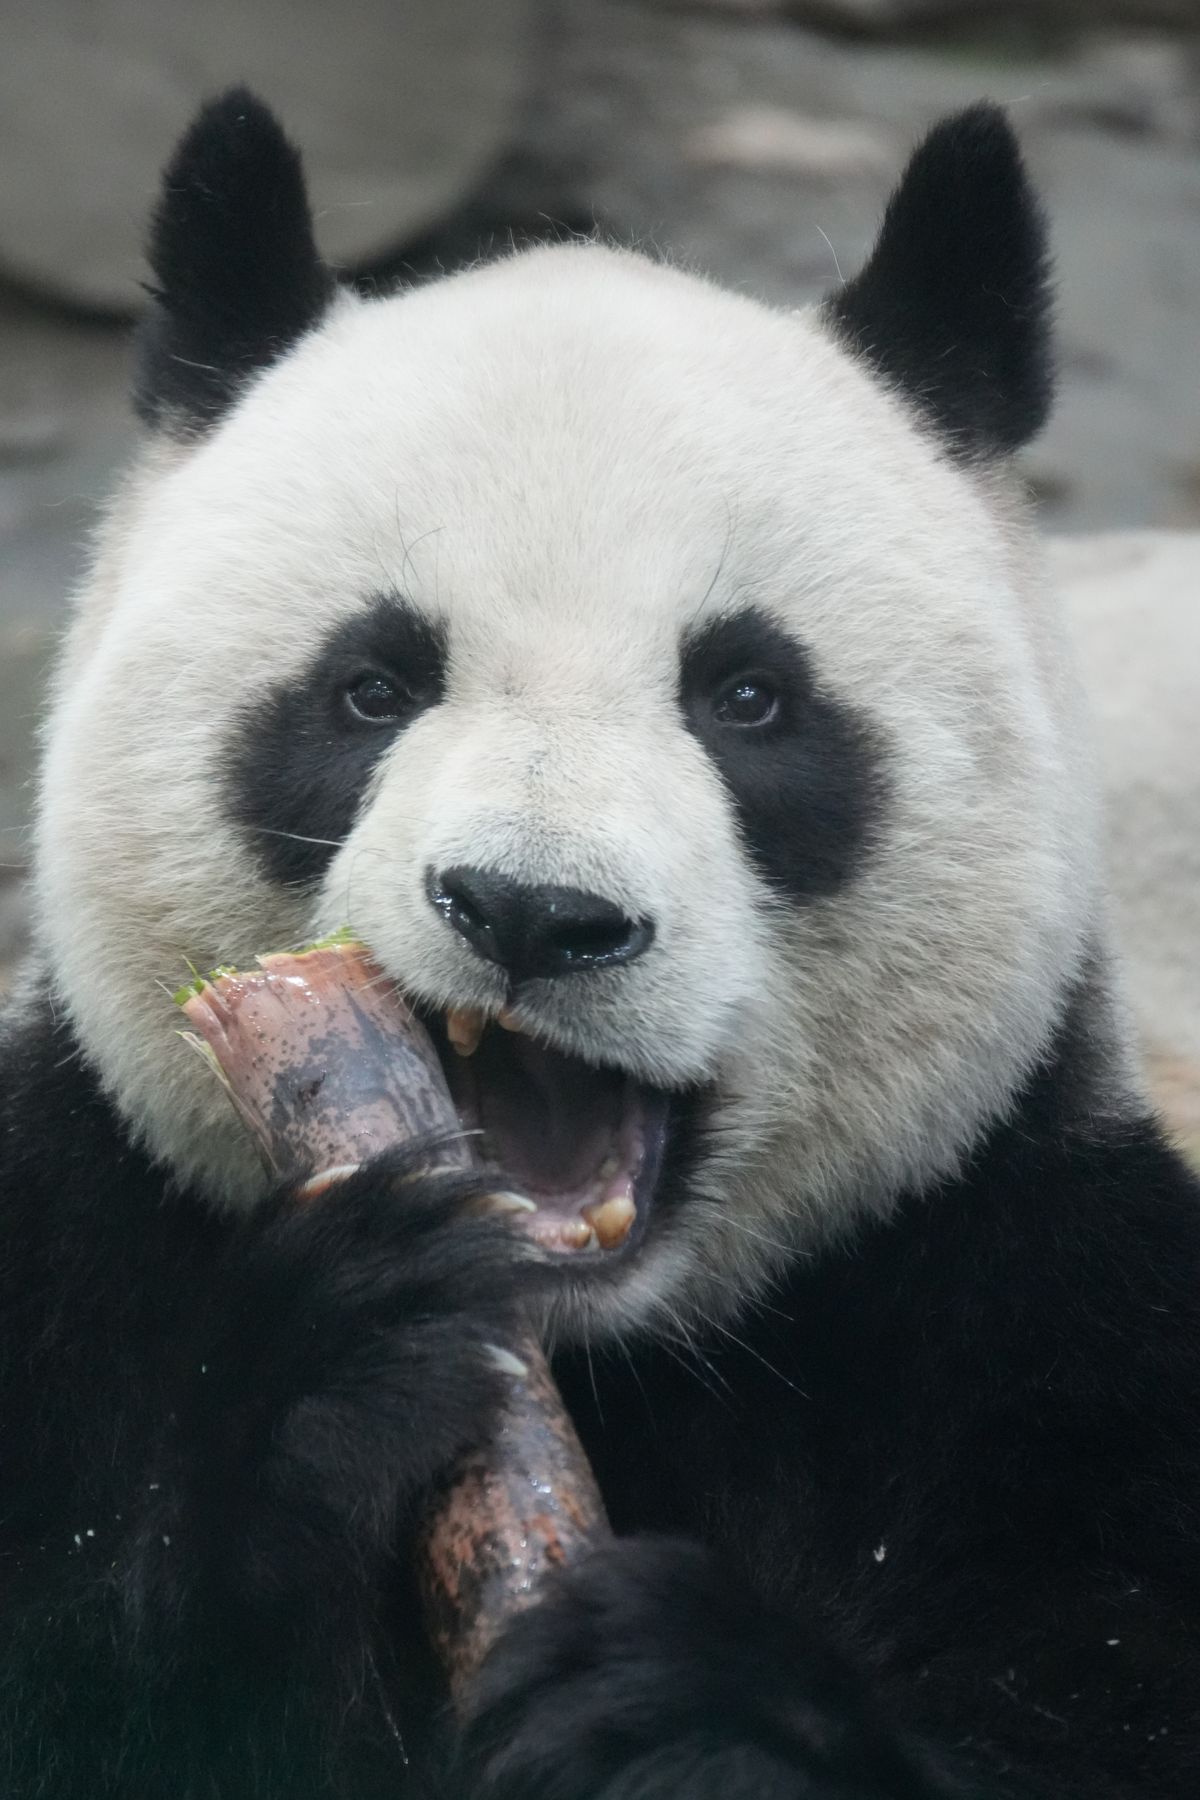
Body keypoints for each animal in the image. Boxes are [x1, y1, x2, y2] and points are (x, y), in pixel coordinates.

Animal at [2, 85, 1199, 1800]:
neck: (606, 1367)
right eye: (372, 685)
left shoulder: (1040, 1313)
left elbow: (1103, 1698)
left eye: (748, 695)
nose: (532, 911)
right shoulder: (75, 1247)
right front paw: (341, 1367)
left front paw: (686, 1703)